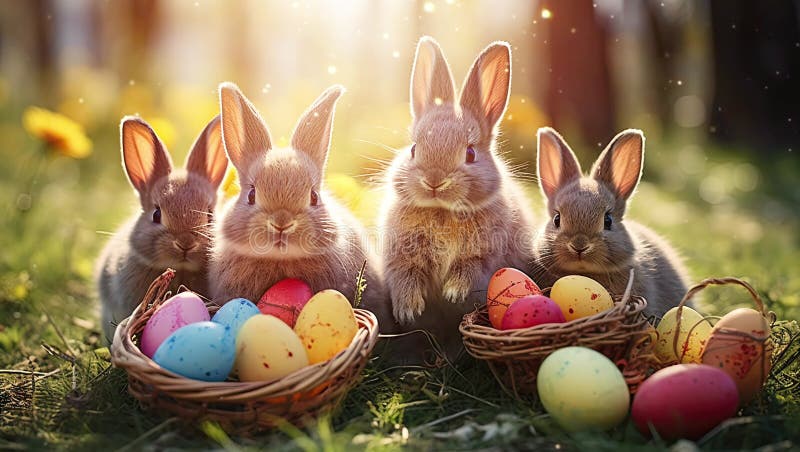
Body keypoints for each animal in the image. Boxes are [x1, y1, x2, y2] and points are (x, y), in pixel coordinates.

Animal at [377, 36, 537, 361]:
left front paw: (452, 293)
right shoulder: (400, 256)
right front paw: (409, 310)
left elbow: (470, 268)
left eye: (471, 153)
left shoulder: (484, 255)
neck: (442, 210)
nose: (434, 180)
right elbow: (404, 277)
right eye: (414, 149)